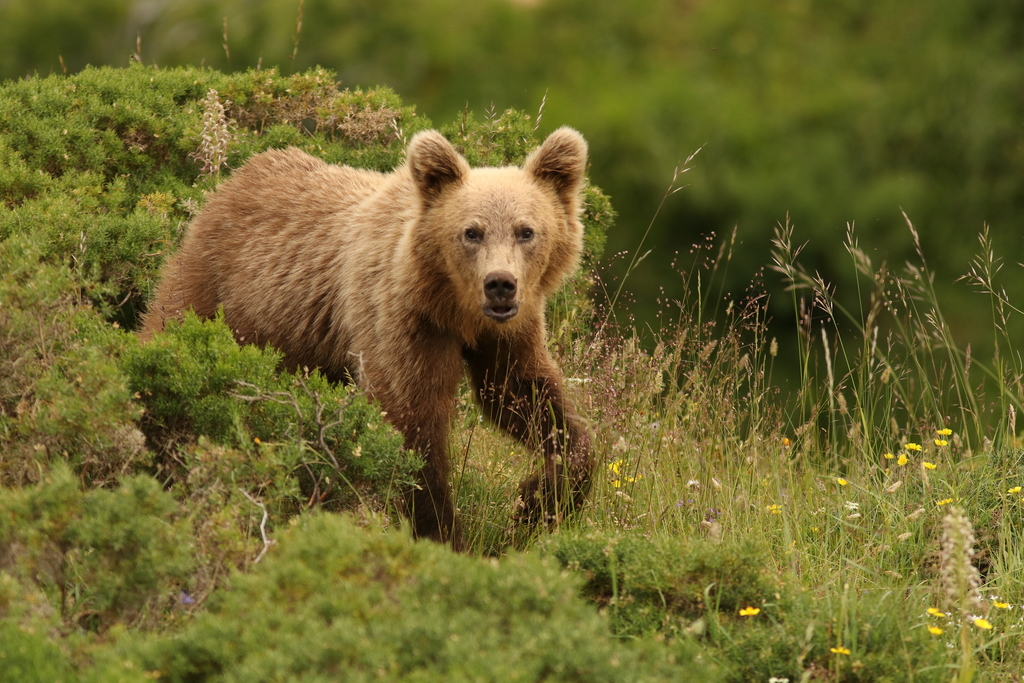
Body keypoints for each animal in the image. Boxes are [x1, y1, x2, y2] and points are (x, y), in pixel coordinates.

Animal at [140, 128, 594, 550]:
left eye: (526, 231)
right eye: (472, 232)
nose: (500, 284)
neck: (452, 308)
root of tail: (231, 181)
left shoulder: (508, 334)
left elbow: (524, 397)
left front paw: (537, 501)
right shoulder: (401, 323)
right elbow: (412, 425)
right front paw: (443, 536)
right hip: (213, 289)